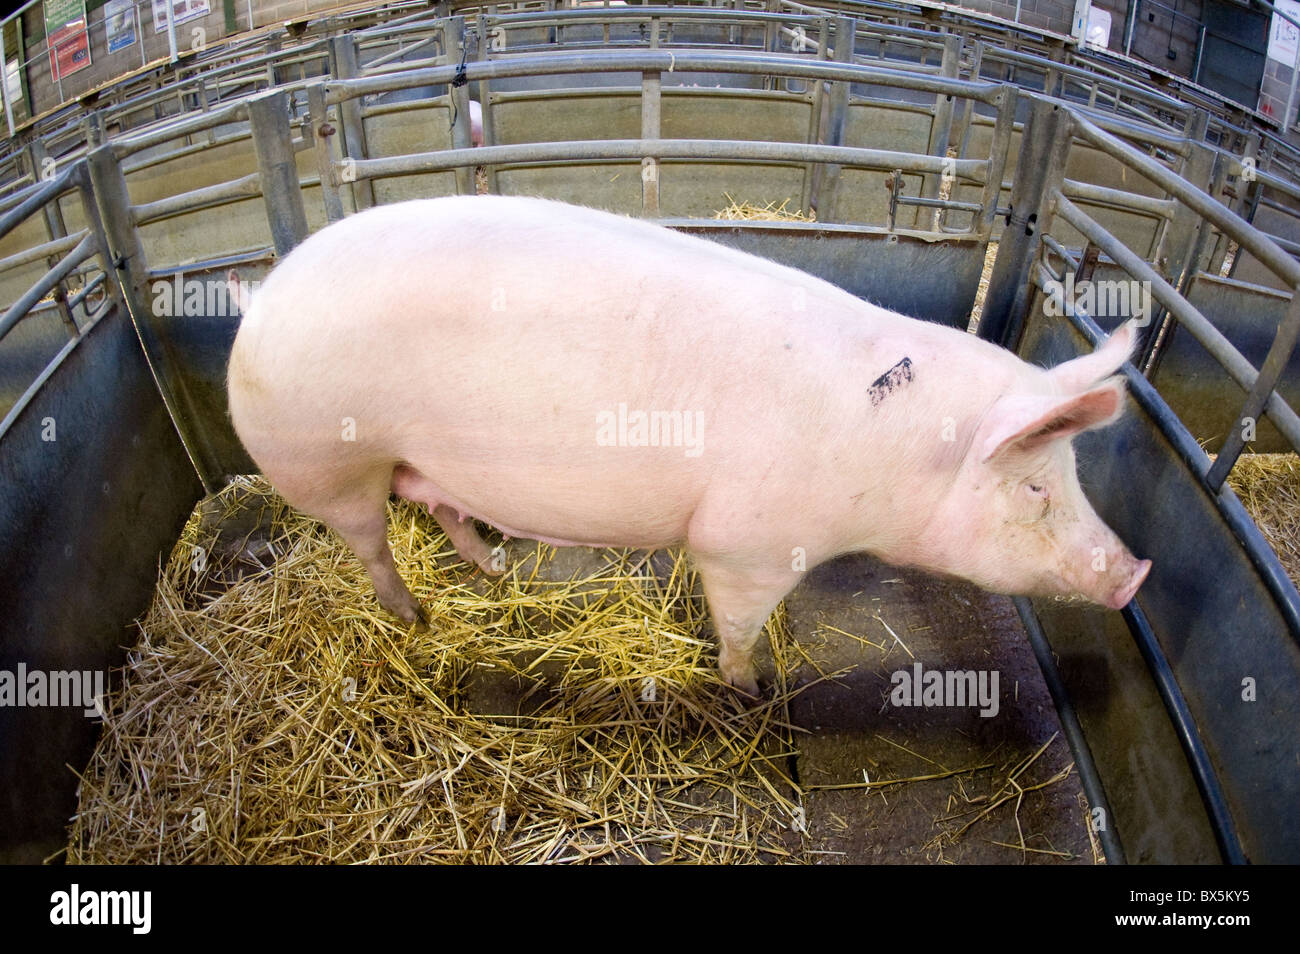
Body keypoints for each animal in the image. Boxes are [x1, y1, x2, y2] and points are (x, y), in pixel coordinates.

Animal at [226, 195, 1150, 695]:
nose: (1136, 572)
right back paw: (414, 616)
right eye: (1035, 489)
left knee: (448, 511)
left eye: (1070, 475)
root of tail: (261, 302)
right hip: (327, 463)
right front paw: (752, 688)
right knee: (371, 545)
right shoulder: (745, 543)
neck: (890, 451)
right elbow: (738, 625)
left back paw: (494, 568)